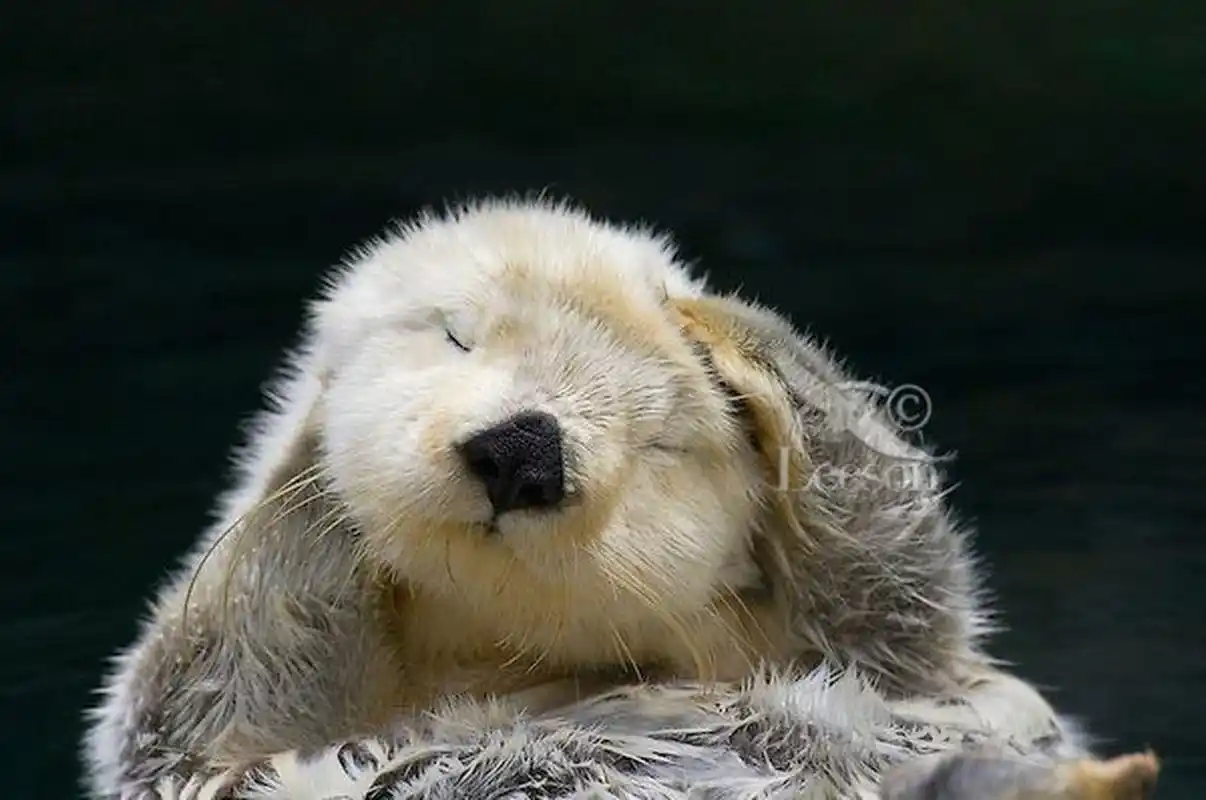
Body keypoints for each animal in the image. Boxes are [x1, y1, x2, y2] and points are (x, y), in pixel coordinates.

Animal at [83, 198, 1157, 799]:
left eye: (662, 440)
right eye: (458, 335)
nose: (523, 448)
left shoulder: (917, 674)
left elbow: (904, 599)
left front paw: (713, 320)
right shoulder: (199, 754)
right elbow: (213, 676)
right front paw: (307, 451)